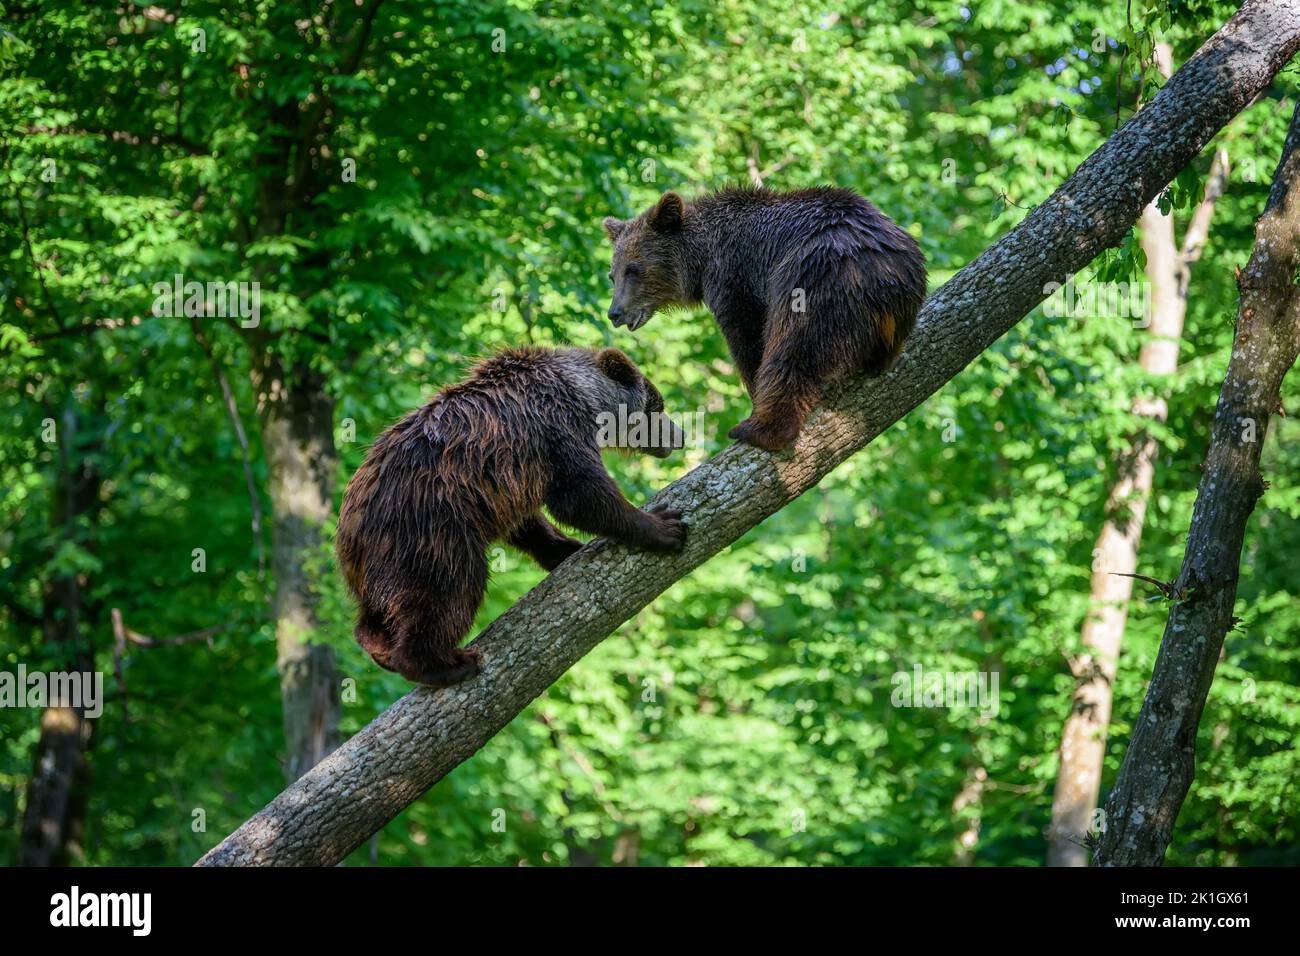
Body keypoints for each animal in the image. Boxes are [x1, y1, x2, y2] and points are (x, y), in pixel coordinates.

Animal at [335, 346, 687, 687]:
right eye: (657, 406)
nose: (680, 435)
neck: (587, 396)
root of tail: (350, 532)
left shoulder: (503, 484)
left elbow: (529, 524)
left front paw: (566, 548)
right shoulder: (557, 428)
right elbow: (579, 493)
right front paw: (663, 525)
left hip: (382, 562)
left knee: (382, 610)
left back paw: (379, 647)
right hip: (430, 528)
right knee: (449, 589)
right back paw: (445, 664)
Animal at [603, 185, 927, 451]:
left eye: (634, 270)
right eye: (613, 274)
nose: (615, 313)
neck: (702, 259)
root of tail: (882, 269)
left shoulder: (734, 276)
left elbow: (746, 337)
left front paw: (754, 397)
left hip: (813, 279)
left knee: (792, 348)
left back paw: (760, 429)